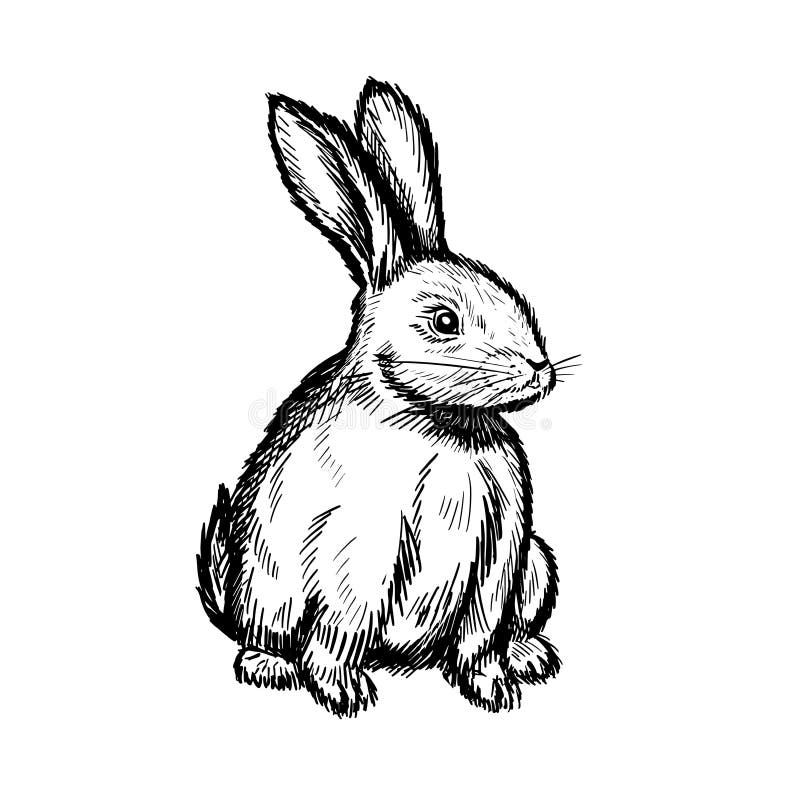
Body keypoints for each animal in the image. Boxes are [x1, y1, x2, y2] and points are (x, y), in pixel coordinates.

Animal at [197, 78, 574, 717]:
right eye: (445, 321)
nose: (540, 373)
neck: (436, 421)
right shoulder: (358, 554)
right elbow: (338, 631)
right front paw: (343, 692)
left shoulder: (498, 559)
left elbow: (477, 640)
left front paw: (492, 688)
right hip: (266, 586)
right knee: (268, 635)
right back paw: (271, 667)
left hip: (537, 569)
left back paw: (529, 656)